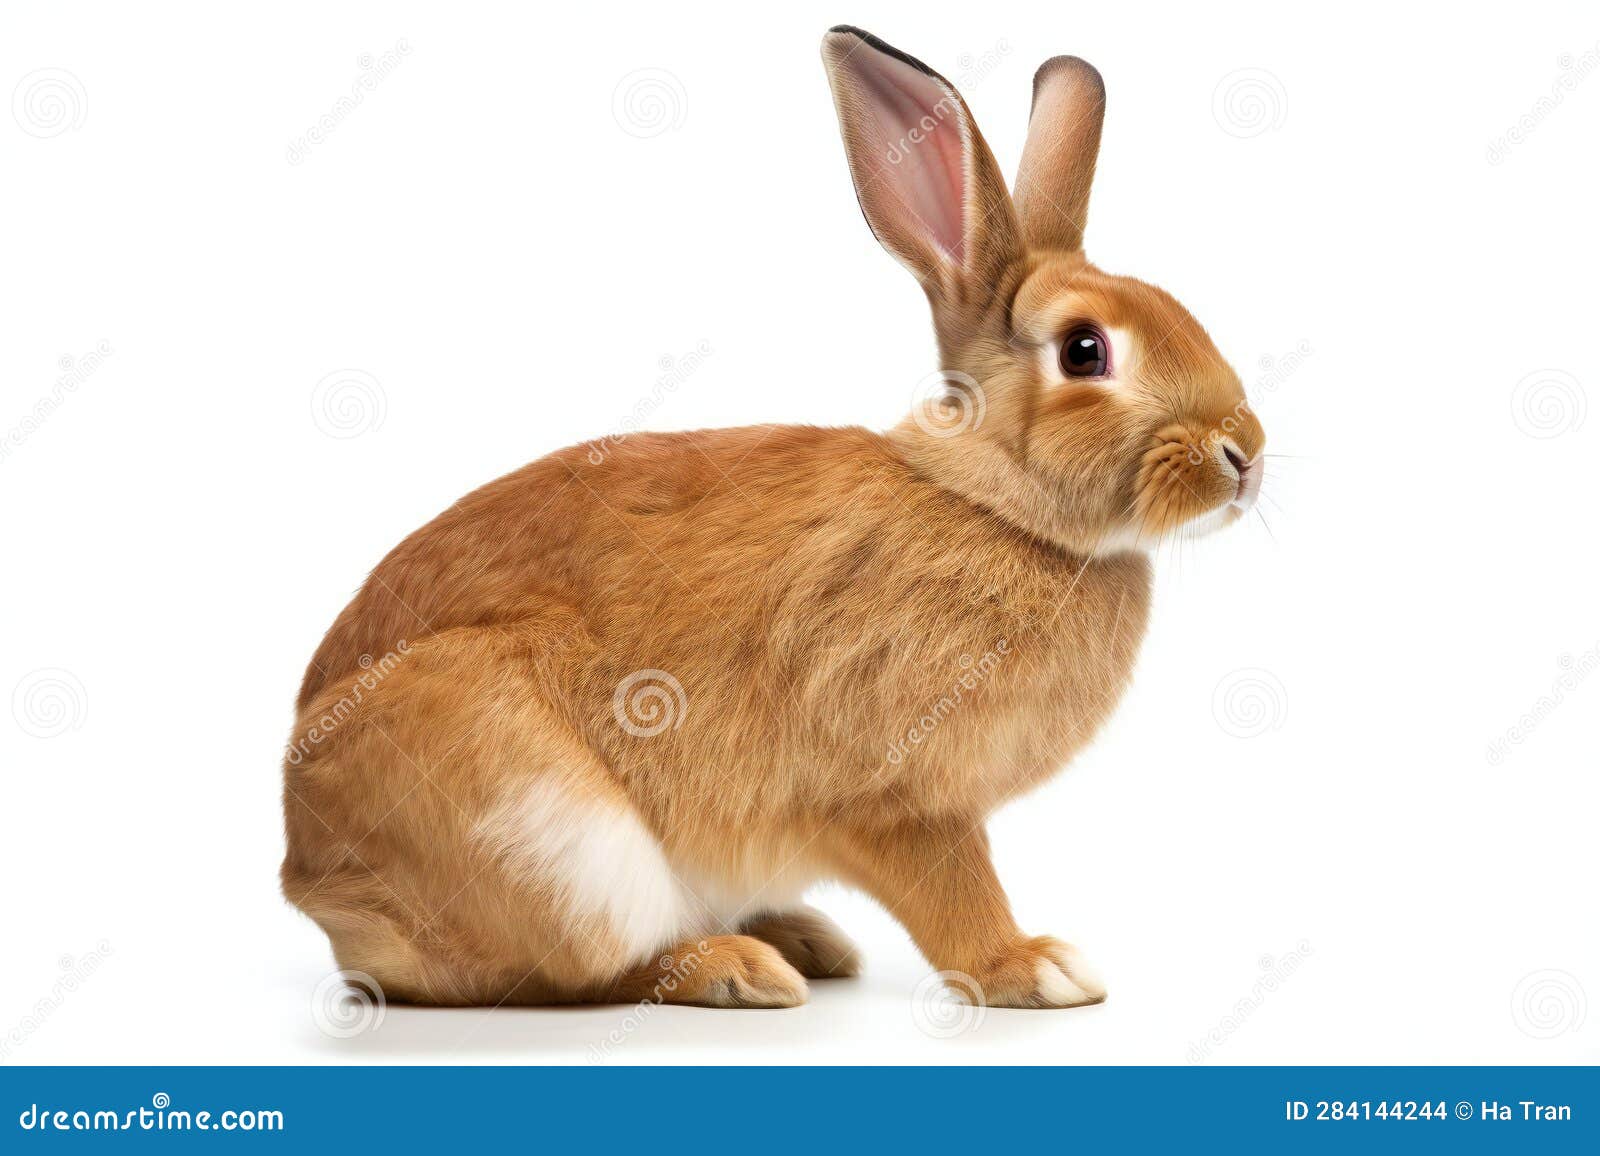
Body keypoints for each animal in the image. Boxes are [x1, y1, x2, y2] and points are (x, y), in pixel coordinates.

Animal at [281, 25, 1265, 1011]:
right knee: (568, 971)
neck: (991, 501)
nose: (1245, 453)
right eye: (1085, 351)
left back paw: (801, 939)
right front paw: (1034, 968)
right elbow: (955, 890)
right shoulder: (900, 799)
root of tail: (315, 881)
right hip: (553, 833)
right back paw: (737, 968)